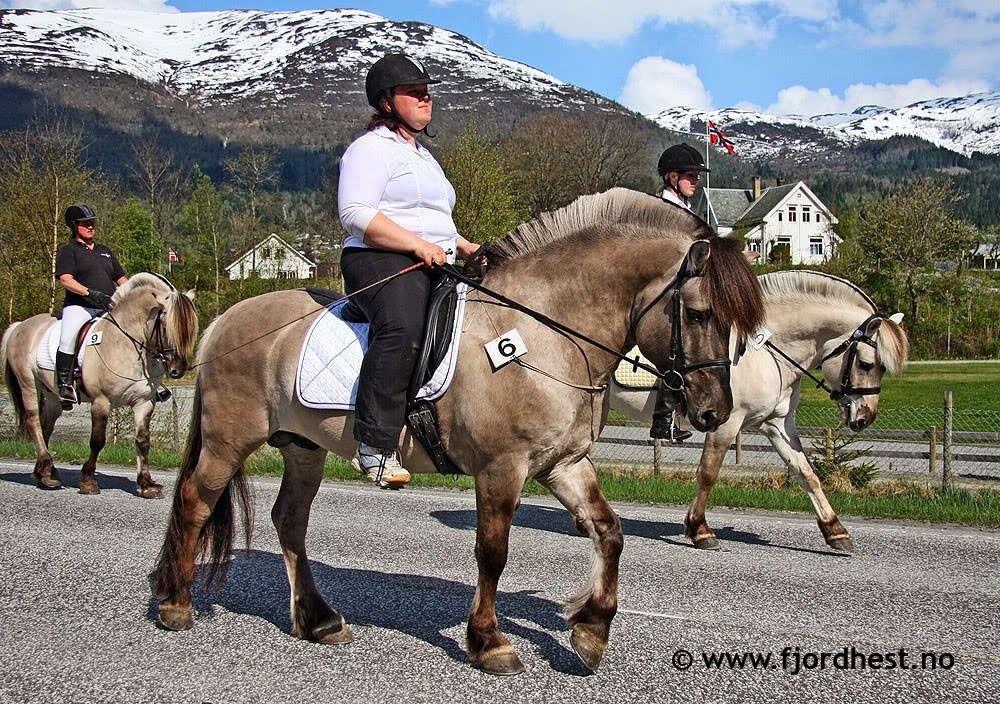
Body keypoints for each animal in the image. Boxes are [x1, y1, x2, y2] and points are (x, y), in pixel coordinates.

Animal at [1, 273, 198, 498]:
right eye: (166, 325)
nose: (178, 370)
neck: (125, 342)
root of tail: (19, 325)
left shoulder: (144, 402)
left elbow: (143, 441)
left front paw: (147, 484)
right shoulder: (101, 401)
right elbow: (97, 441)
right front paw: (88, 481)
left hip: (52, 395)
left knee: (46, 424)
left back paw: (45, 473)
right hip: (28, 383)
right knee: (34, 421)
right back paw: (46, 468)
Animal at [151, 188, 765, 676]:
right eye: (701, 313)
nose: (714, 413)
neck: (547, 332)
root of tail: (224, 321)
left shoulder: (562, 463)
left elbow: (609, 532)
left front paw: (590, 632)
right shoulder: (502, 467)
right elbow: (492, 552)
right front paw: (490, 643)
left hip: (303, 448)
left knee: (289, 520)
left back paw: (317, 620)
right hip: (229, 439)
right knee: (196, 500)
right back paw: (176, 604)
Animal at [609, 270, 909, 553]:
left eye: (882, 368)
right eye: (866, 364)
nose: (864, 418)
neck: (764, 353)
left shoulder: (778, 424)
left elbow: (806, 473)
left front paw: (835, 530)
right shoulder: (725, 423)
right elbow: (708, 473)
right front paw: (700, 530)